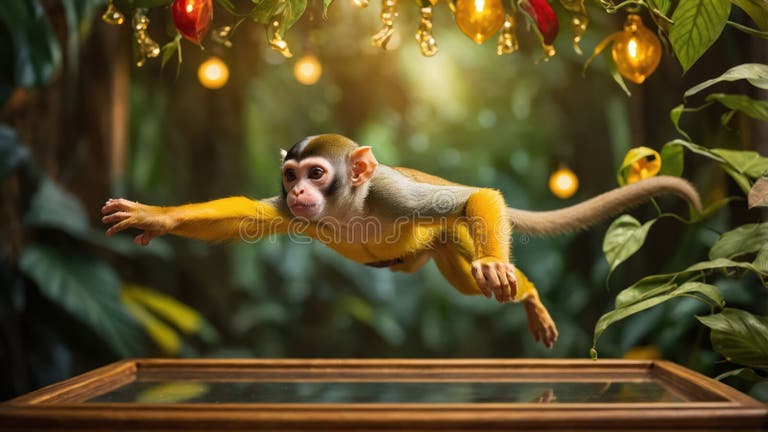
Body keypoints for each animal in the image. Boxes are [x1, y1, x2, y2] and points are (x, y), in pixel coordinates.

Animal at [101, 134, 701, 348]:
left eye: (315, 173)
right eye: (290, 177)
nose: (298, 192)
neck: (348, 210)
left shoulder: (393, 194)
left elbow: (478, 196)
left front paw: (500, 269)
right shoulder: (299, 217)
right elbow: (246, 215)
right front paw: (157, 218)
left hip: (443, 228)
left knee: (469, 248)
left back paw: (522, 289)